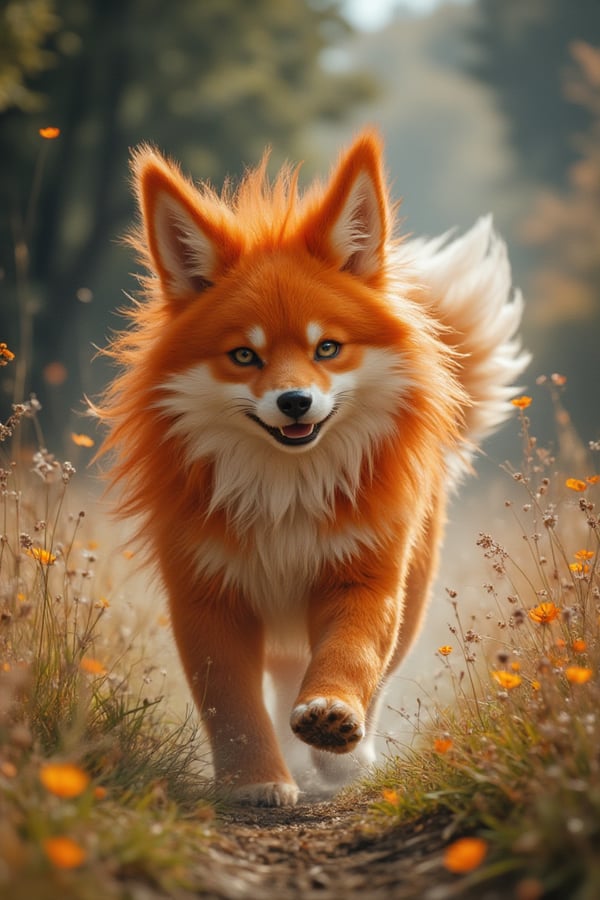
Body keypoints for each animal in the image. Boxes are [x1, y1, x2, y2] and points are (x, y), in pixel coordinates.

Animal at [97, 131, 529, 807]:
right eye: (244, 356)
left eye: (327, 347)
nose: (295, 401)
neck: (286, 487)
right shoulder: (207, 594)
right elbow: (230, 703)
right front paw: (254, 779)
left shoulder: (362, 577)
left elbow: (352, 658)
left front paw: (333, 730)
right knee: (277, 686)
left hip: (412, 589)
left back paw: (341, 757)